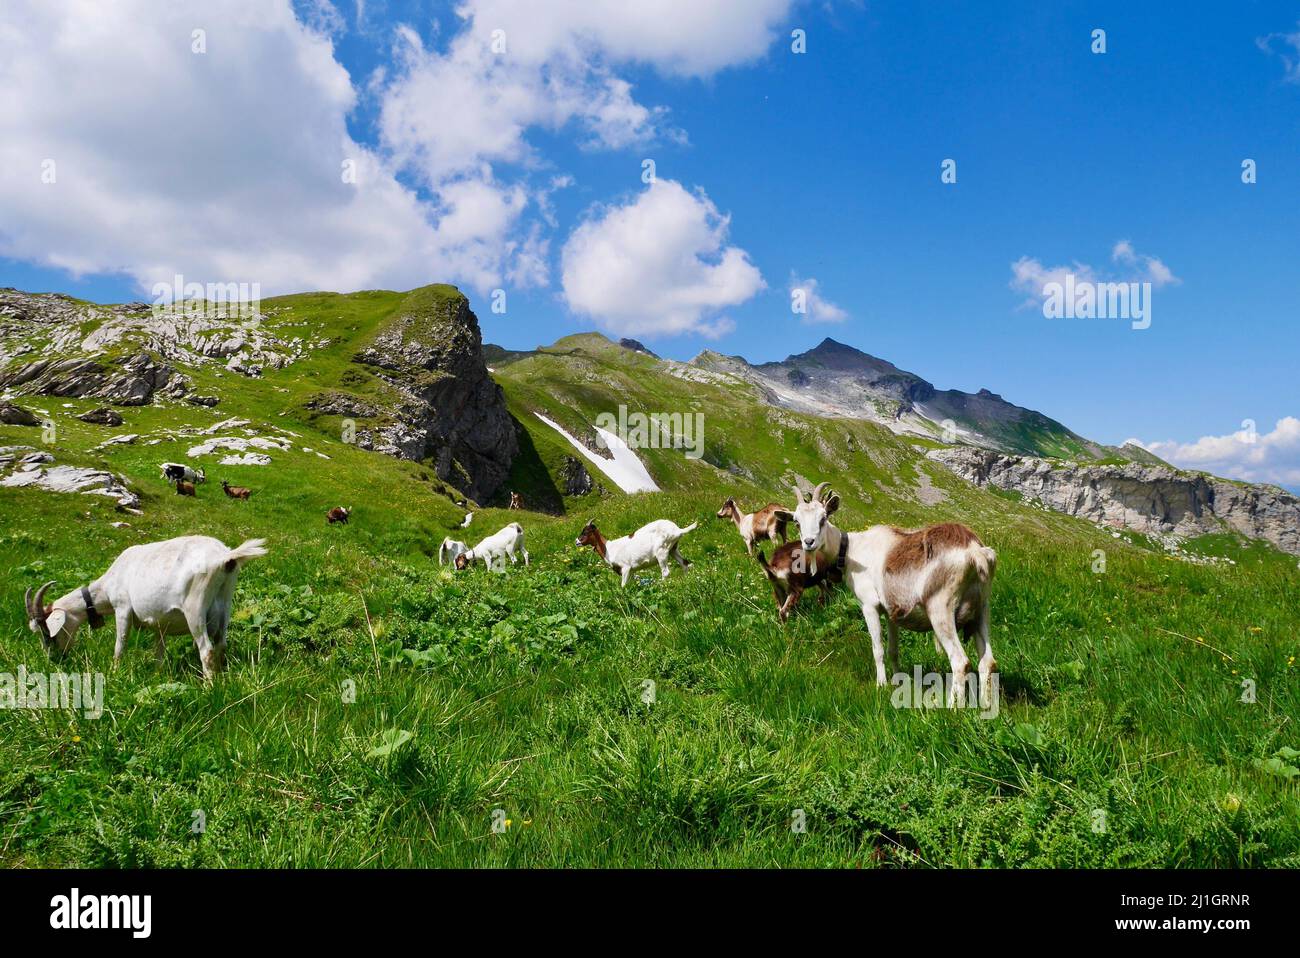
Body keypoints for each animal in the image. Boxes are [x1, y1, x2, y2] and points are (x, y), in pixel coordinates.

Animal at [23, 536, 267, 680]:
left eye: (47, 632)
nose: (54, 660)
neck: (108, 583)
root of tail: (224, 557)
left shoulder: (122, 608)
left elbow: (120, 645)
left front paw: (114, 673)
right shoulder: (160, 623)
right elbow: (158, 651)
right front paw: (158, 675)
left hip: (195, 608)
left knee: (206, 650)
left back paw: (209, 688)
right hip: (225, 604)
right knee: (221, 645)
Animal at [782, 482, 997, 706]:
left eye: (823, 518)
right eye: (796, 522)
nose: (809, 542)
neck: (851, 550)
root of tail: (976, 553)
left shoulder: (870, 605)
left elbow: (878, 649)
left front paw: (881, 685)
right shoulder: (891, 611)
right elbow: (893, 650)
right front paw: (898, 681)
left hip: (940, 609)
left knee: (960, 662)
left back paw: (954, 707)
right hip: (982, 608)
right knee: (988, 663)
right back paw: (986, 705)